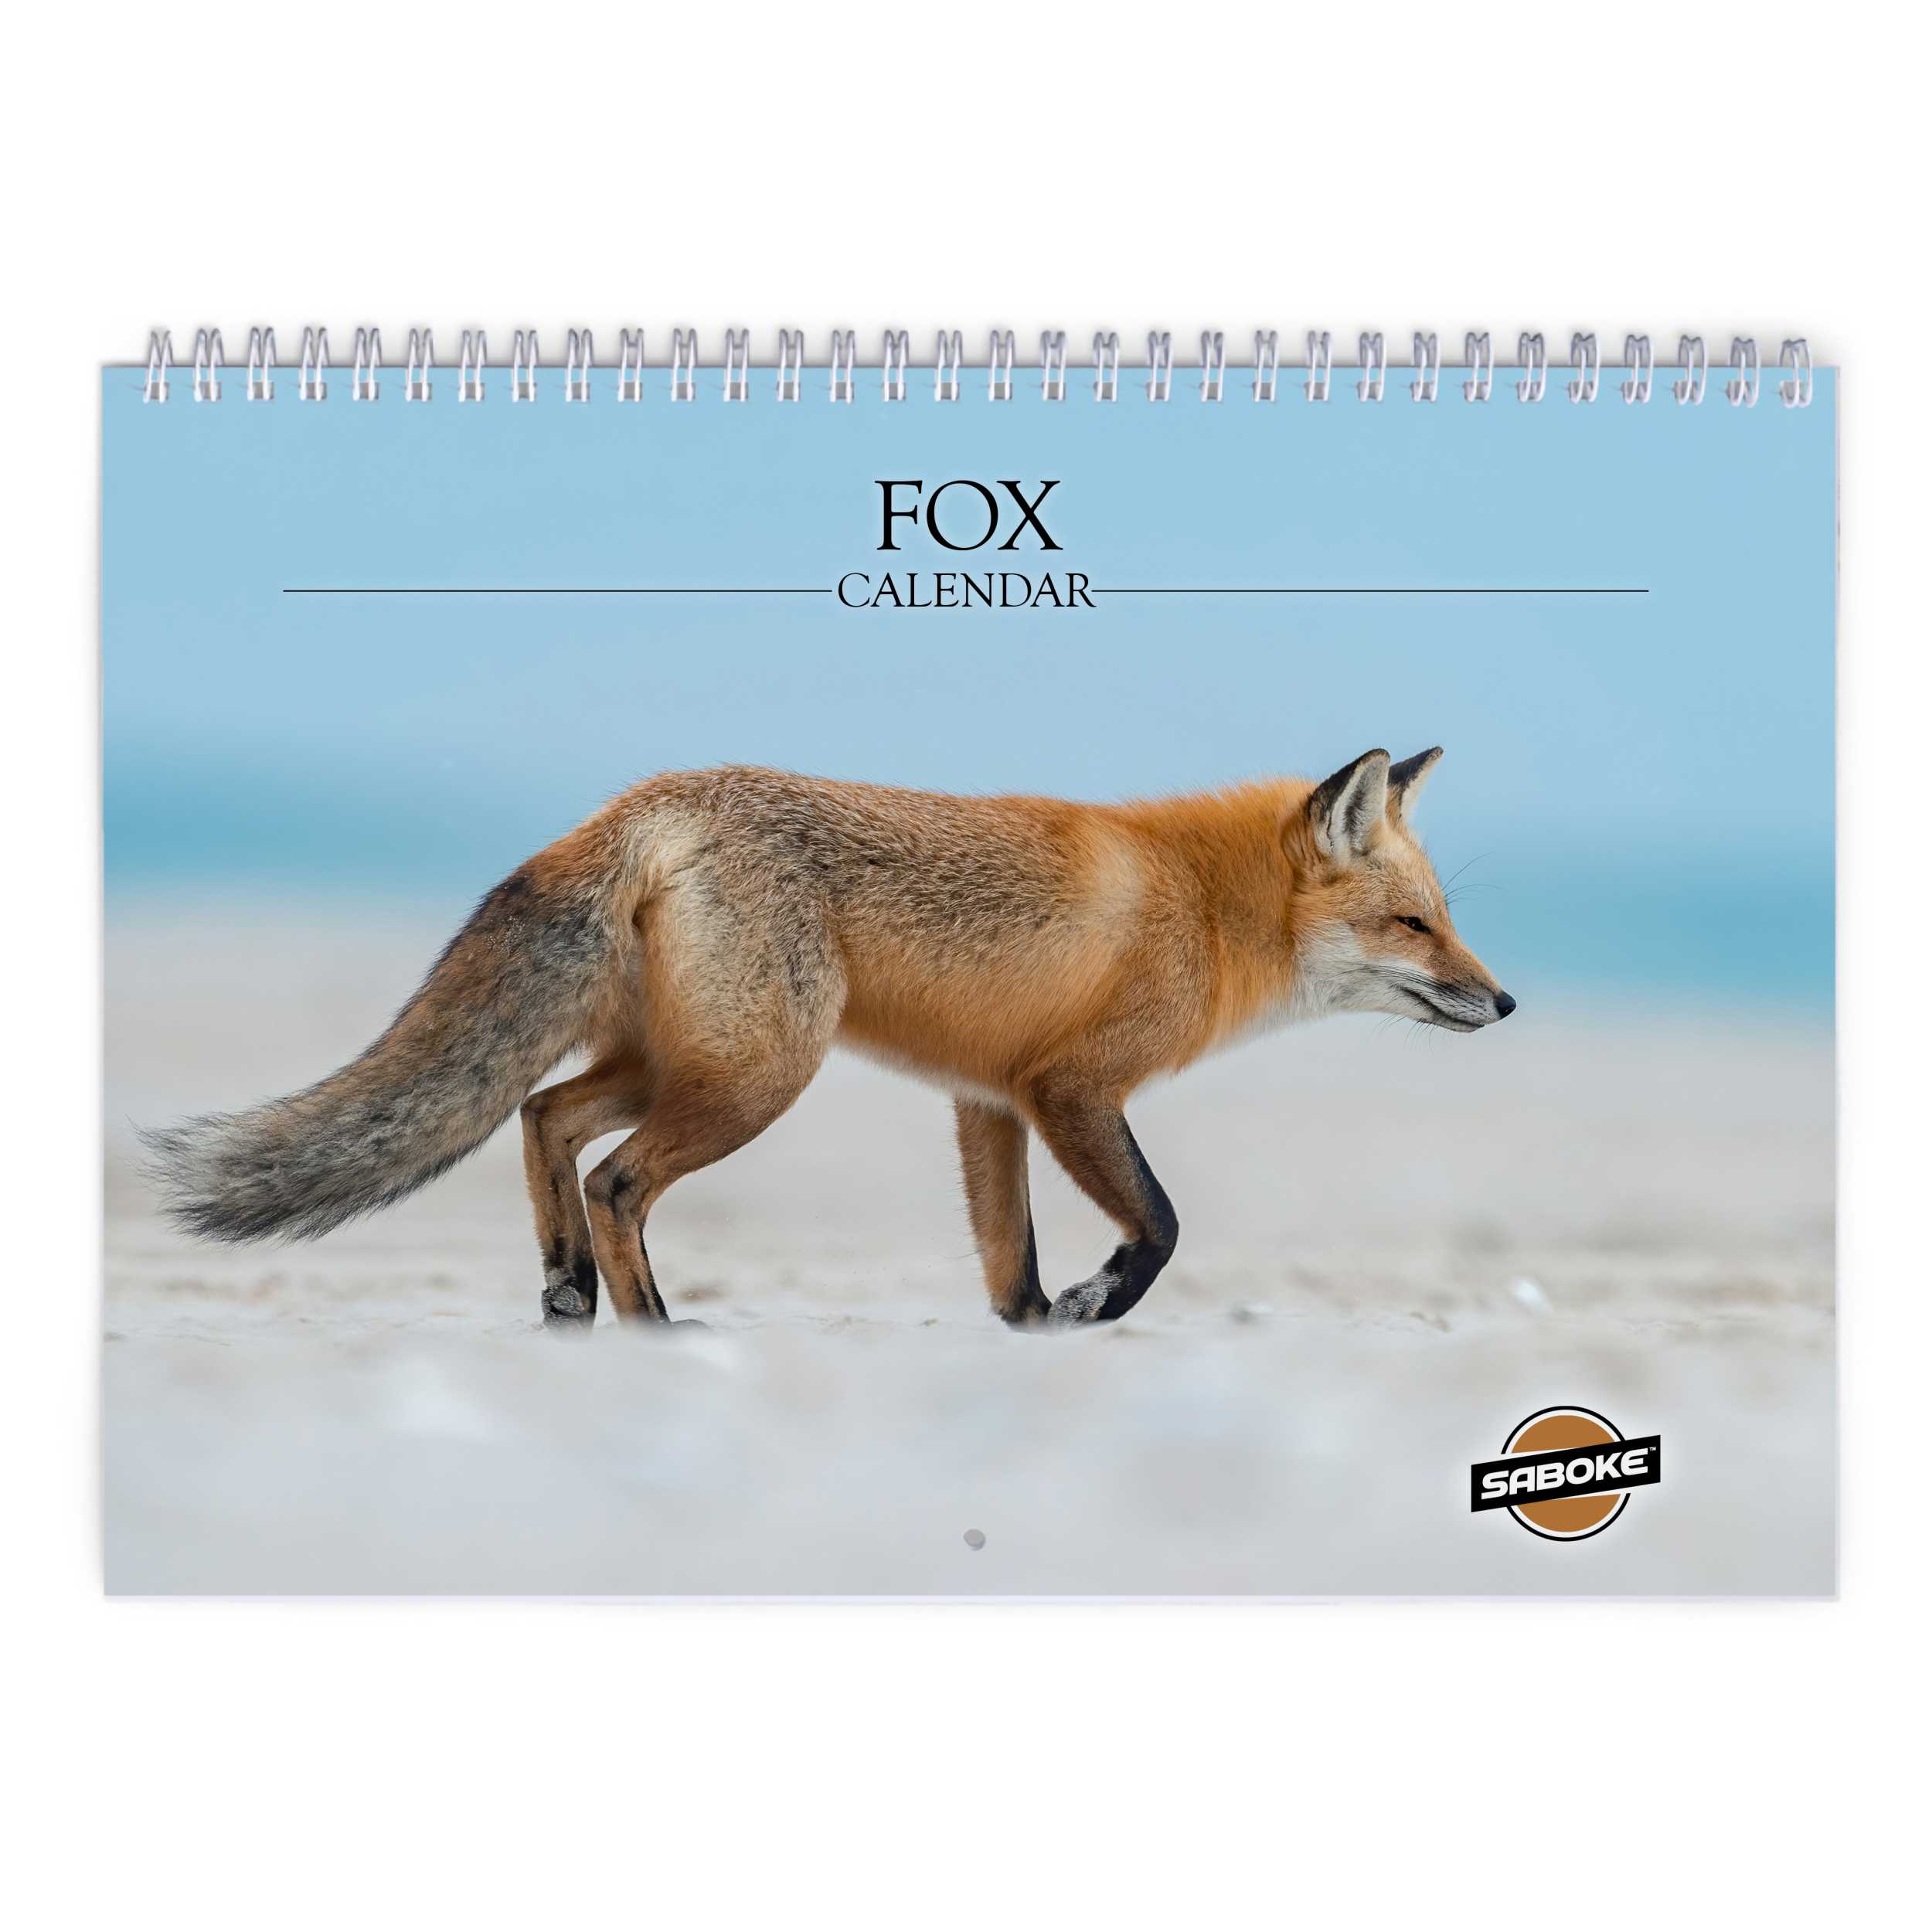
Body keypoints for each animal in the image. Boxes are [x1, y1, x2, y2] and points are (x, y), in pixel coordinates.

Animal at [147, 747, 1514, 1331]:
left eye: (1448, 920)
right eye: (1414, 925)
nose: (1504, 1004)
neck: (1204, 905)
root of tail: (643, 799)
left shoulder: (990, 1100)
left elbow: (1008, 1264)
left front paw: (1035, 1328)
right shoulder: (1071, 1087)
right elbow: (1164, 1225)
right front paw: (1100, 1301)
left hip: (678, 1060)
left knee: (544, 1118)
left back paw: (569, 1294)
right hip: (758, 1078)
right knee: (615, 1176)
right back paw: (653, 1325)